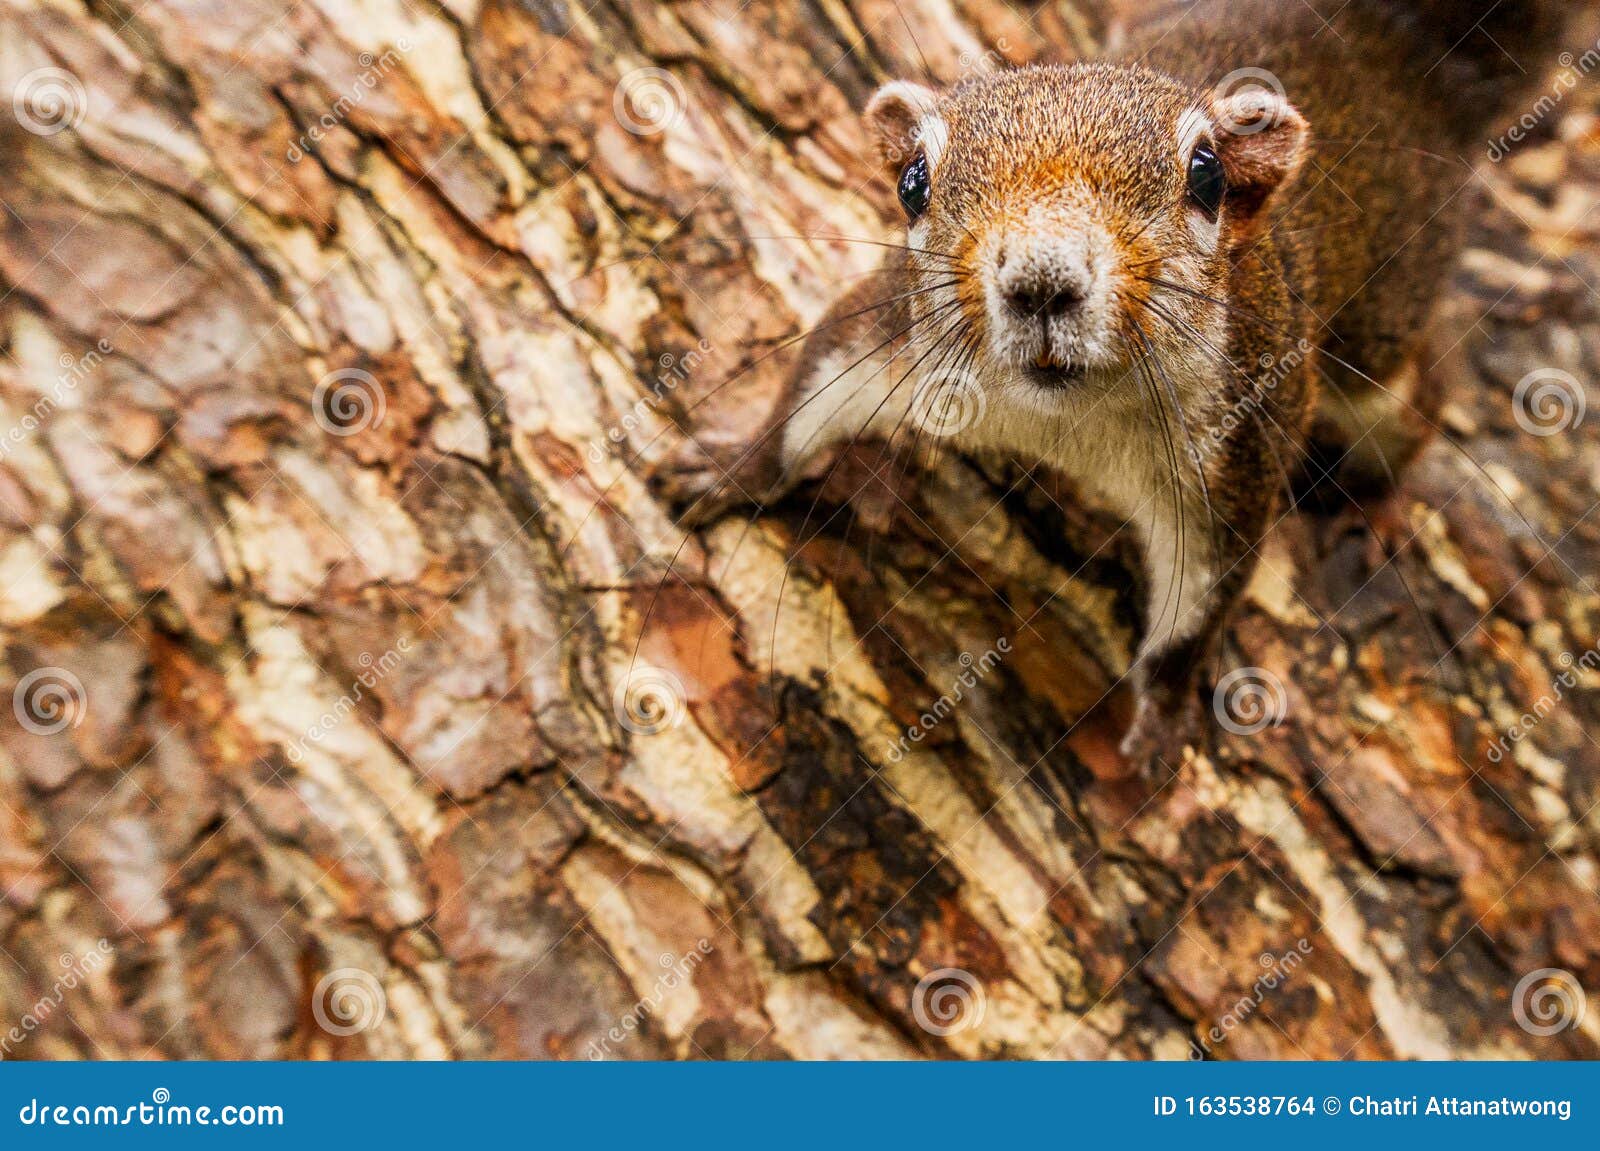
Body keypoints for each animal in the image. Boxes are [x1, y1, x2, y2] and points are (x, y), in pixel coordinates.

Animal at [663, 0, 1591, 766]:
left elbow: (1202, 600)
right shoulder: (892, 335)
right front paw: (727, 470)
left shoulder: (1240, 442)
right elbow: (805, 398)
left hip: (1380, 334)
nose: (1042, 278)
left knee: (1420, 393)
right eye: (913, 182)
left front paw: (1164, 718)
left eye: (1208, 176)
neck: (1057, 416)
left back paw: (1378, 504)